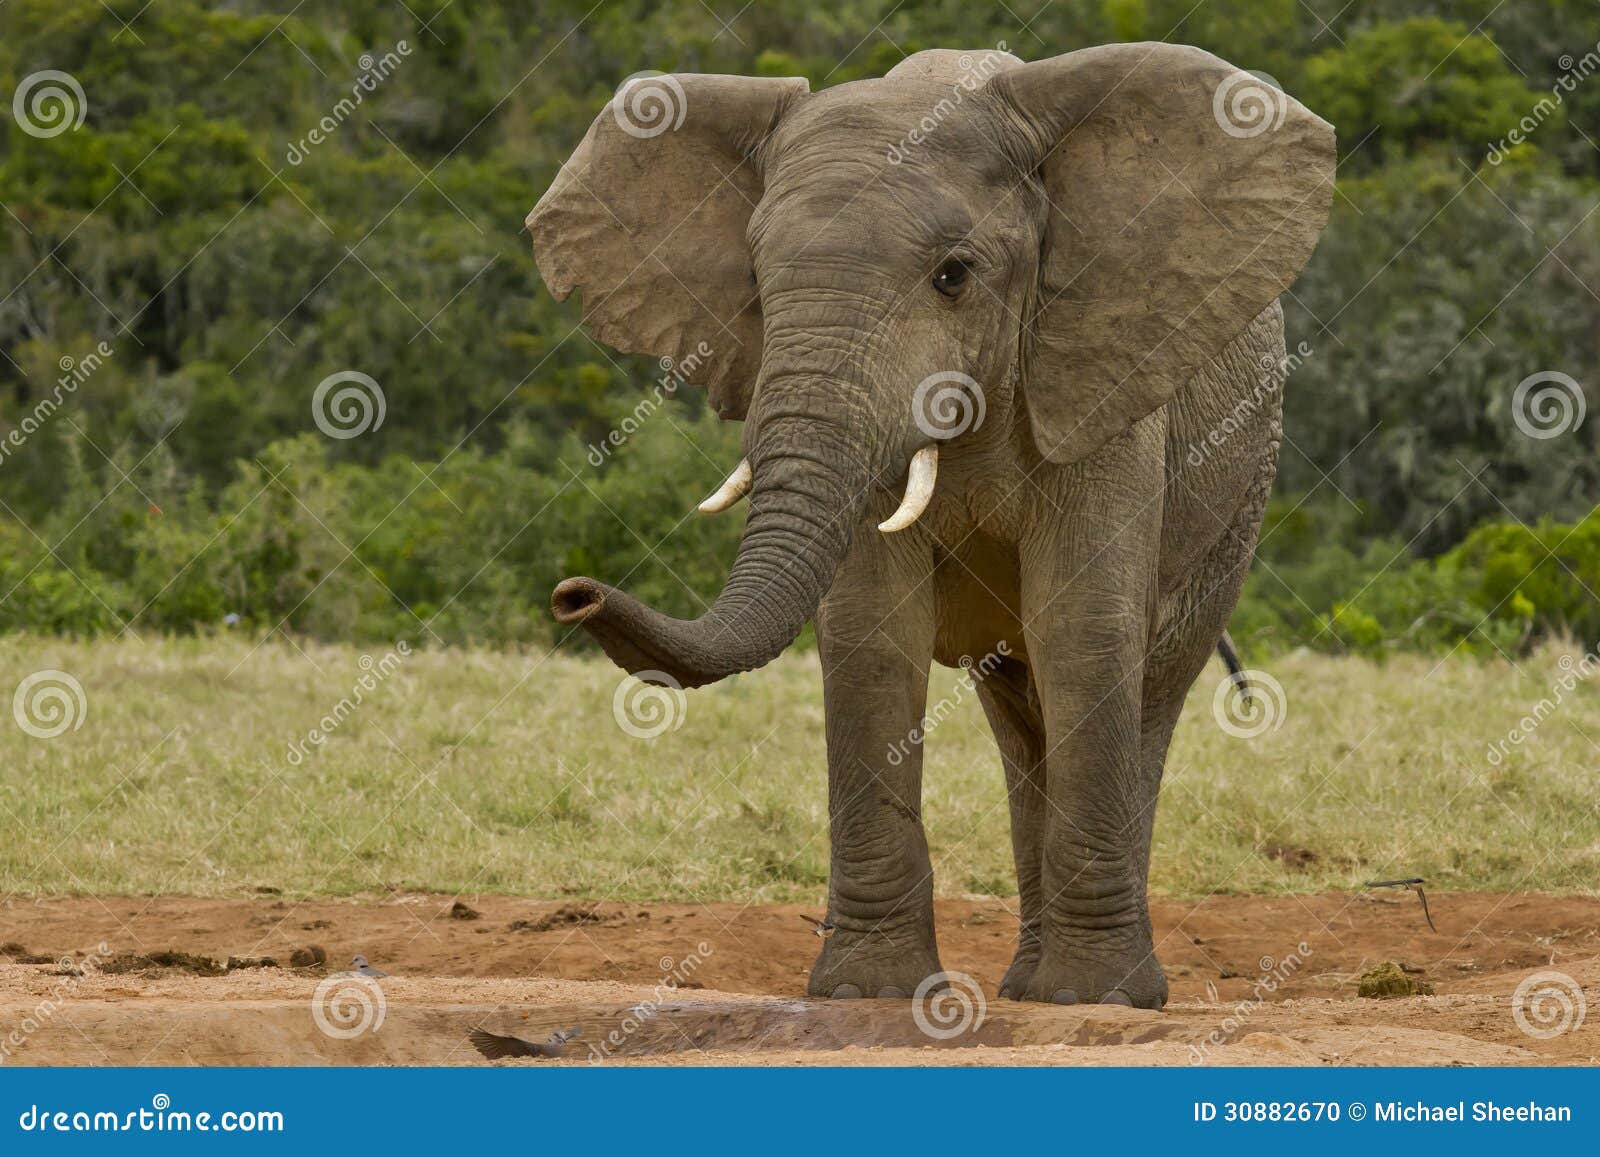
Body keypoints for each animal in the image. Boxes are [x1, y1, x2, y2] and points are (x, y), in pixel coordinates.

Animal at [528, 42, 1334, 1009]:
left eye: (954, 275)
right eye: (754, 282)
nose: (573, 593)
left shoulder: (1101, 371)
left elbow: (1085, 626)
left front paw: (1096, 999)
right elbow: (873, 635)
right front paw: (869, 992)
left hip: (1237, 499)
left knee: (1143, 690)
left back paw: (1096, 987)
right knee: (1022, 721)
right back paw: (1025, 984)